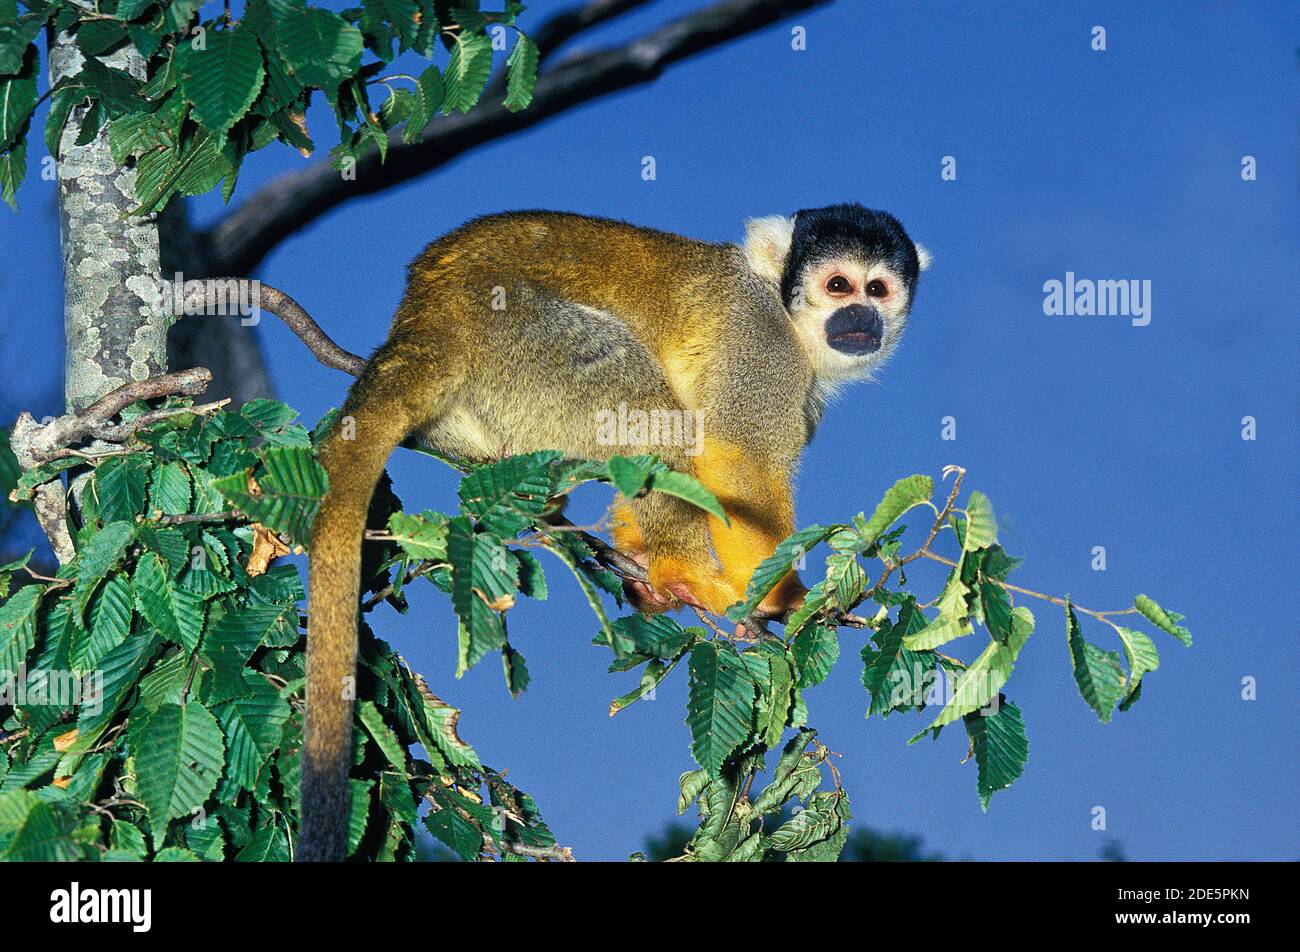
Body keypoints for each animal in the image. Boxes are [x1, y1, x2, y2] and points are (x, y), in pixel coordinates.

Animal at [299, 204, 930, 860]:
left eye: (877, 290)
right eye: (838, 285)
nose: (861, 318)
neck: (790, 321)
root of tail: (426, 317)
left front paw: (647, 556)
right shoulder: (762, 346)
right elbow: (739, 462)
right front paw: (785, 596)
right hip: (520, 335)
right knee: (642, 406)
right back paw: (684, 568)